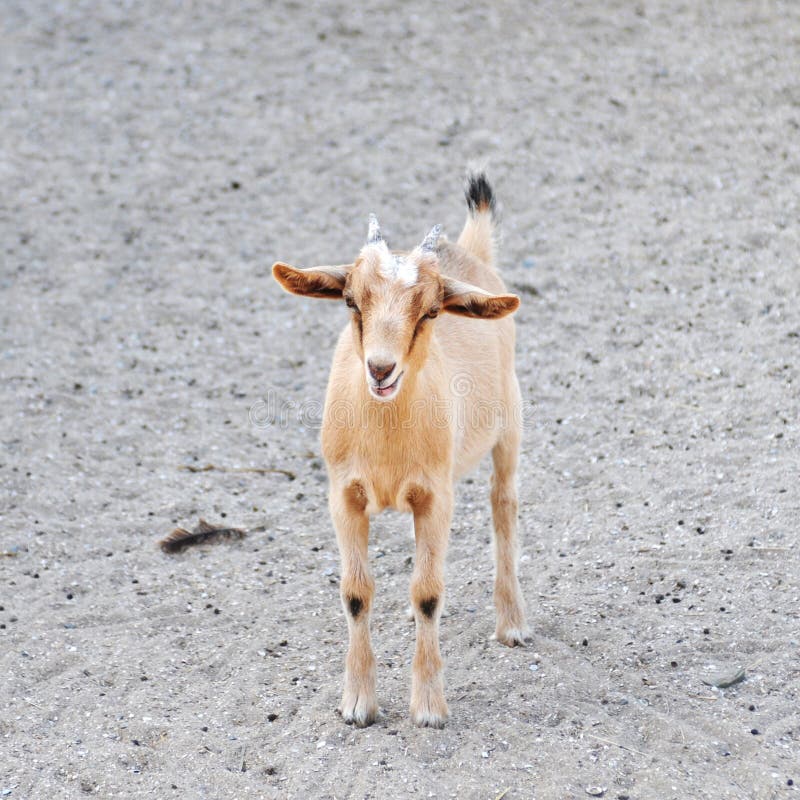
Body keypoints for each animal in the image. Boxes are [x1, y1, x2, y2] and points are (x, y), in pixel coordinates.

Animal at [272, 173, 527, 728]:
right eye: (350, 301)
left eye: (430, 311)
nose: (381, 369)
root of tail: (468, 250)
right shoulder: (343, 496)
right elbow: (355, 593)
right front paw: (357, 704)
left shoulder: (435, 497)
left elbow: (428, 593)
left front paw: (429, 707)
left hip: (511, 424)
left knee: (503, 506)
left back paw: (513, 624)